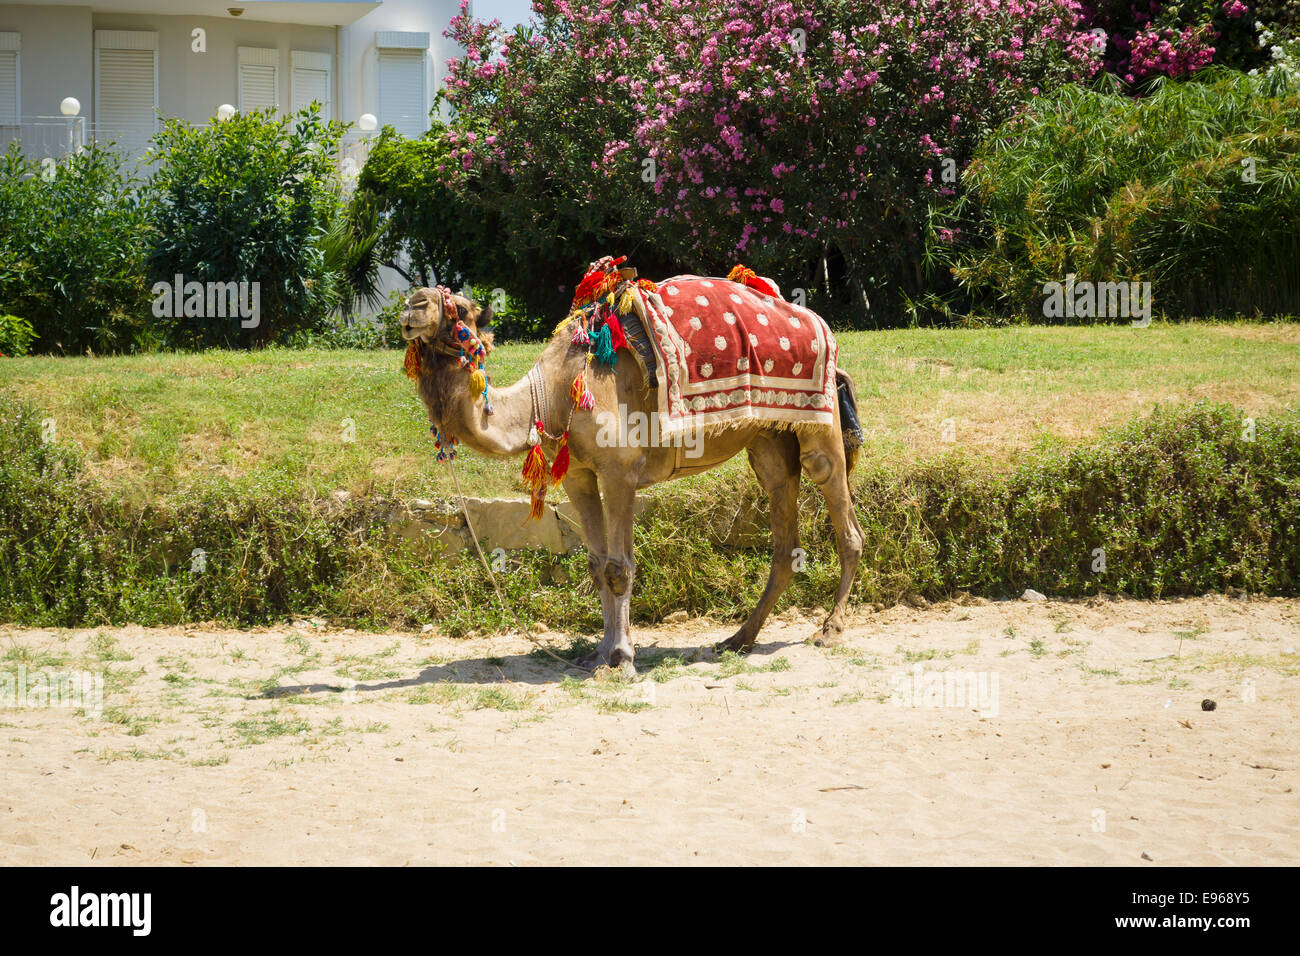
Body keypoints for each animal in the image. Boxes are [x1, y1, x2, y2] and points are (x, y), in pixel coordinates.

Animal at [399, 269, 864, 670]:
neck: (550, 395)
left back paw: (829, 630)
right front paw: (599, 653)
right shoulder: (578, 475)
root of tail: (827, 334)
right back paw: (738, 638)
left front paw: (622, 658)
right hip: (768, 439)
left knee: (842, 514)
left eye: (462, 309)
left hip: (818, 424)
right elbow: (595, 564)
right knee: (783, 532)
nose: (413, 306)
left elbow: (618, 567)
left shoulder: (619, 470)